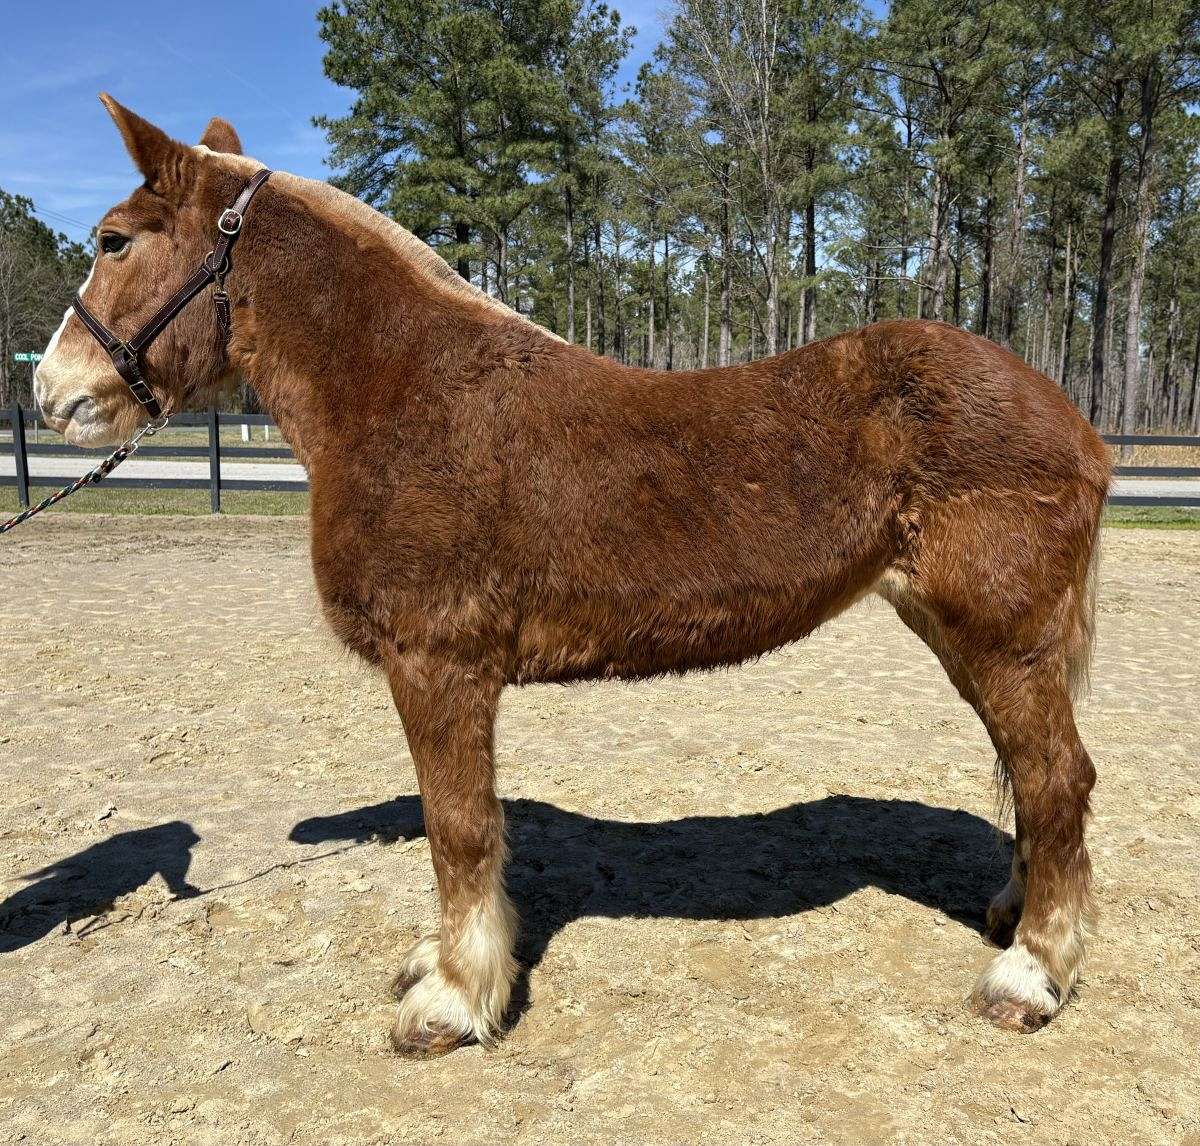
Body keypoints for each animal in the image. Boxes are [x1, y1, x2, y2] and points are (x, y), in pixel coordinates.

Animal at [33, 96, 1111, 1056]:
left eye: (115, 241)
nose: (52, 393)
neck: (404, 393)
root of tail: (1073, 420)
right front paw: (440, 969)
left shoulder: (438, 665)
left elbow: (460, 830)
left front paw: (453, 1001)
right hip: (961, 635)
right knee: (1033, 777)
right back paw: (1016, 919)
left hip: (999, 637)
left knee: (1056, 777)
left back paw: (1030, 977)